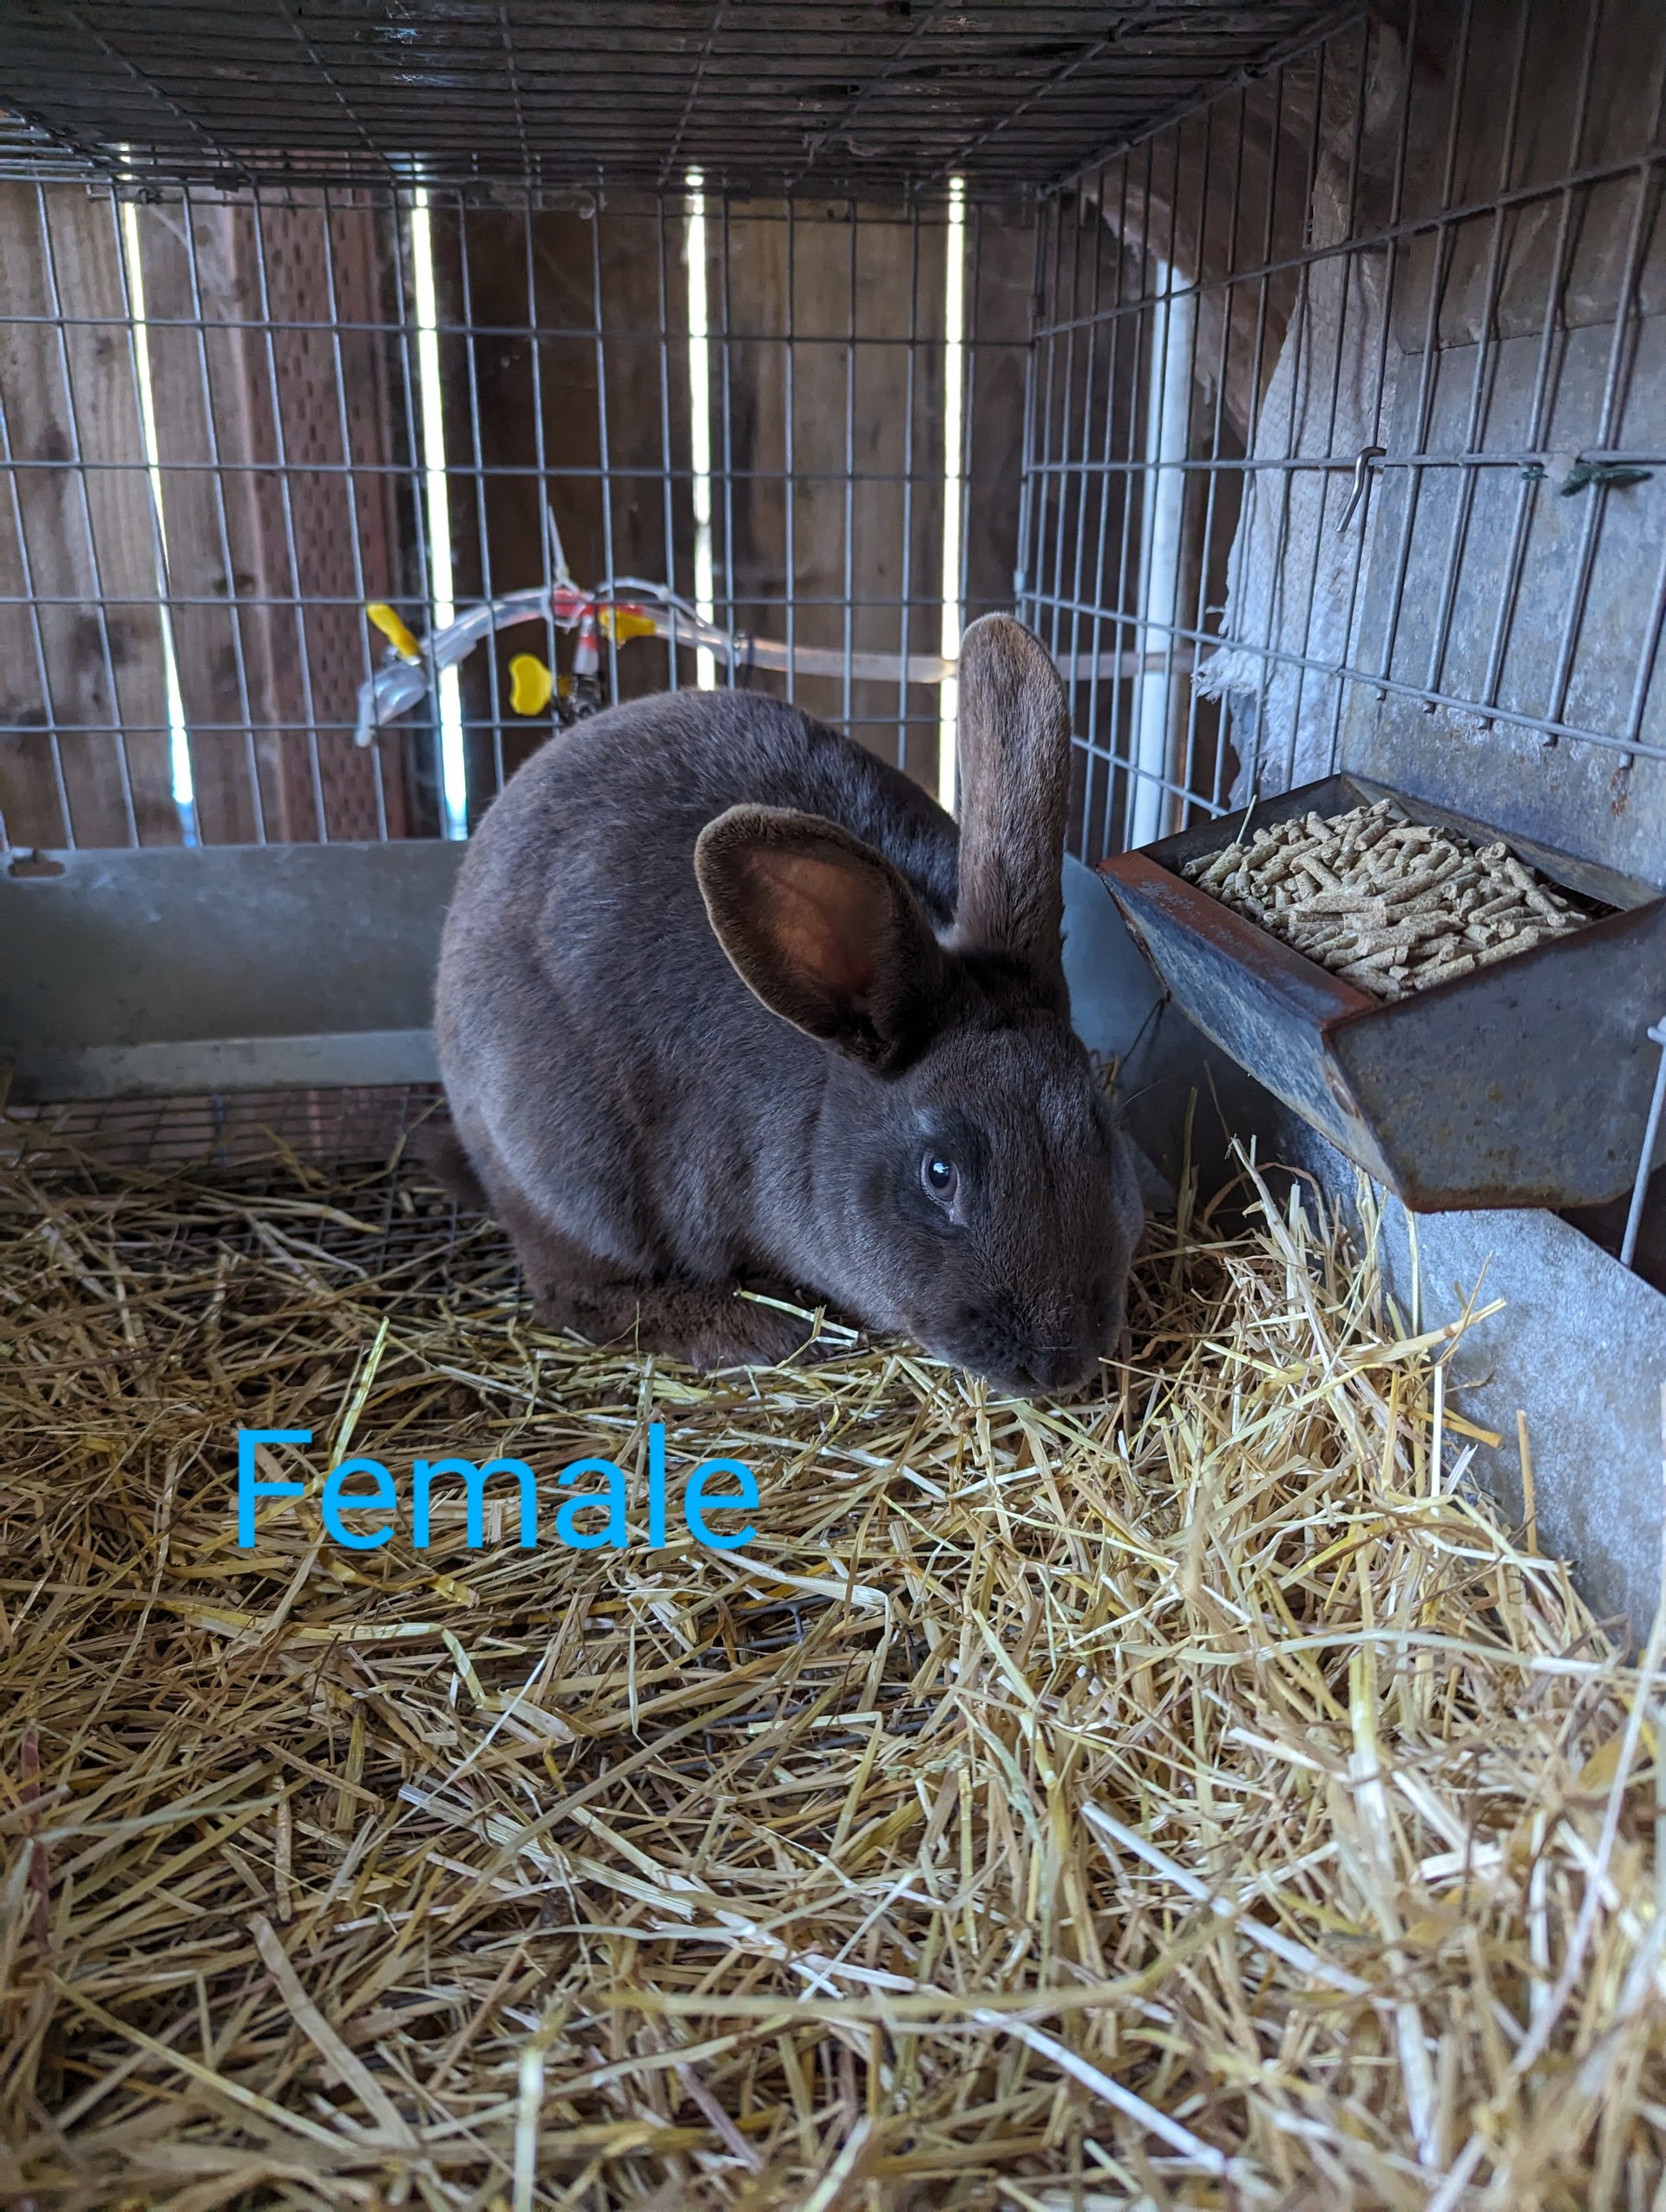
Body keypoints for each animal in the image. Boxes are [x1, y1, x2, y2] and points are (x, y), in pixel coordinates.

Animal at [432, 613, 1143, 1395]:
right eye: (939, 1173)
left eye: (1099, 1130)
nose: (1060, 1362)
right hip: (570, 1178)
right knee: (571, 1296)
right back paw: (757, 1328)